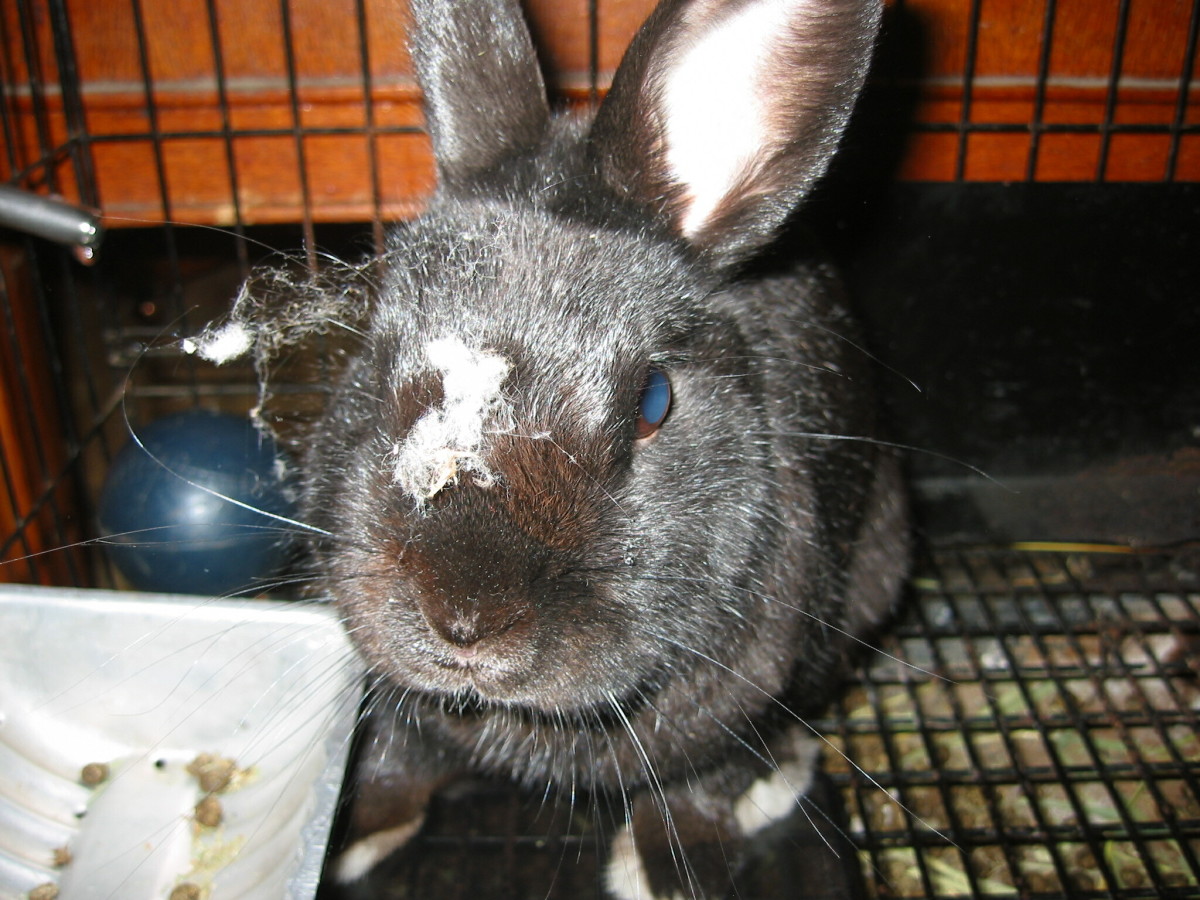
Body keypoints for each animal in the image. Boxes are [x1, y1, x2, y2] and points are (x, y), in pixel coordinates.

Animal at [188, 0, 909, 896]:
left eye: (654, 401)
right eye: (377, 363)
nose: (465, 622)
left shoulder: (756, 689)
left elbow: (702, 786)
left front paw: (668, 872)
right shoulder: (395, 705)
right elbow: (396, 756)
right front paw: (353, 832)